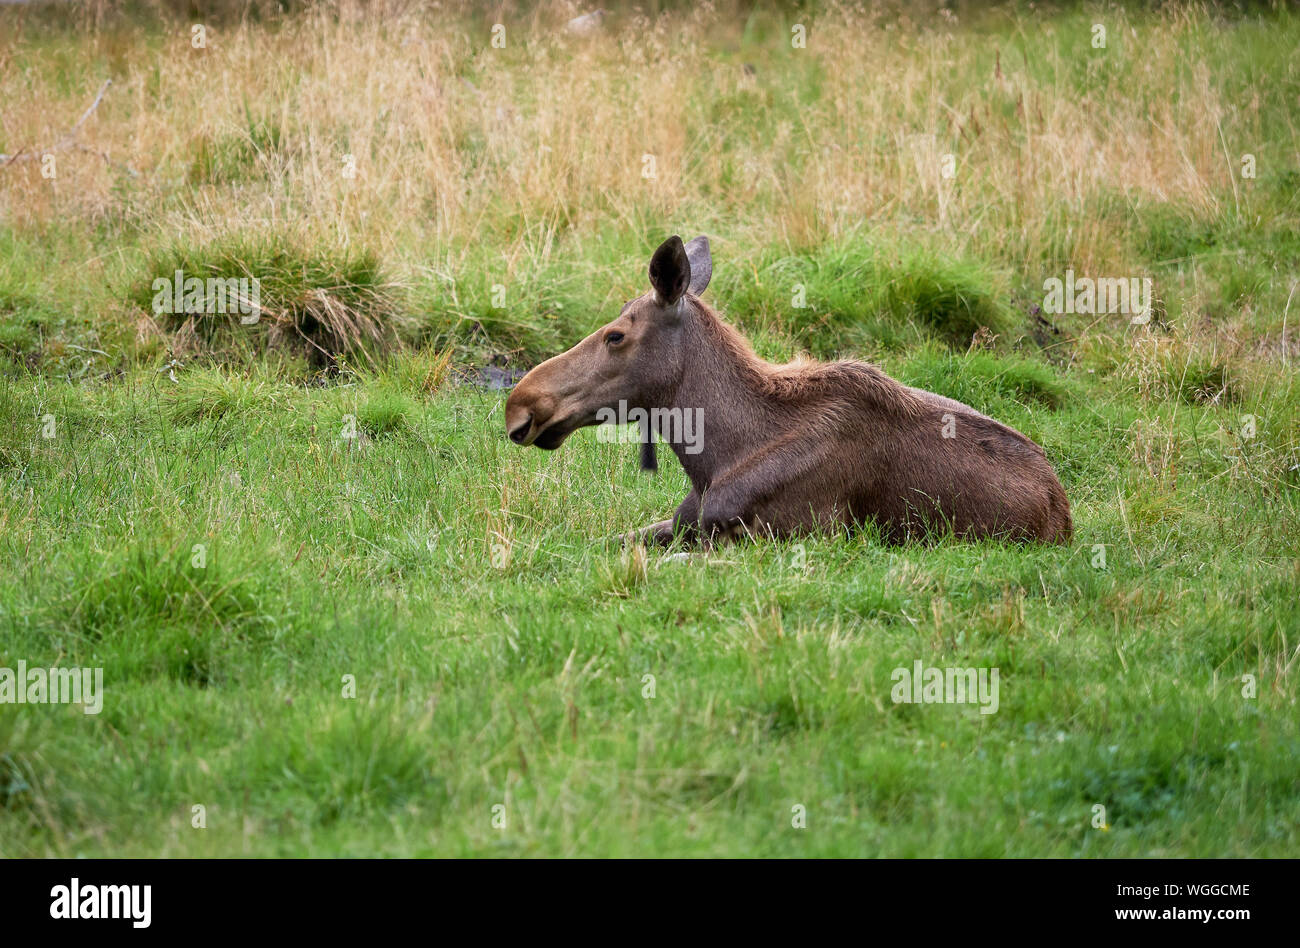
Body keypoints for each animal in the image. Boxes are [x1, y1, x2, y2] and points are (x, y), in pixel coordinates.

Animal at [505, 235, 1072, 547]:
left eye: (616, 335)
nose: (521, 404)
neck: (714, 458)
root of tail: (1062, 511)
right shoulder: (682, 523)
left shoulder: (786, 537)